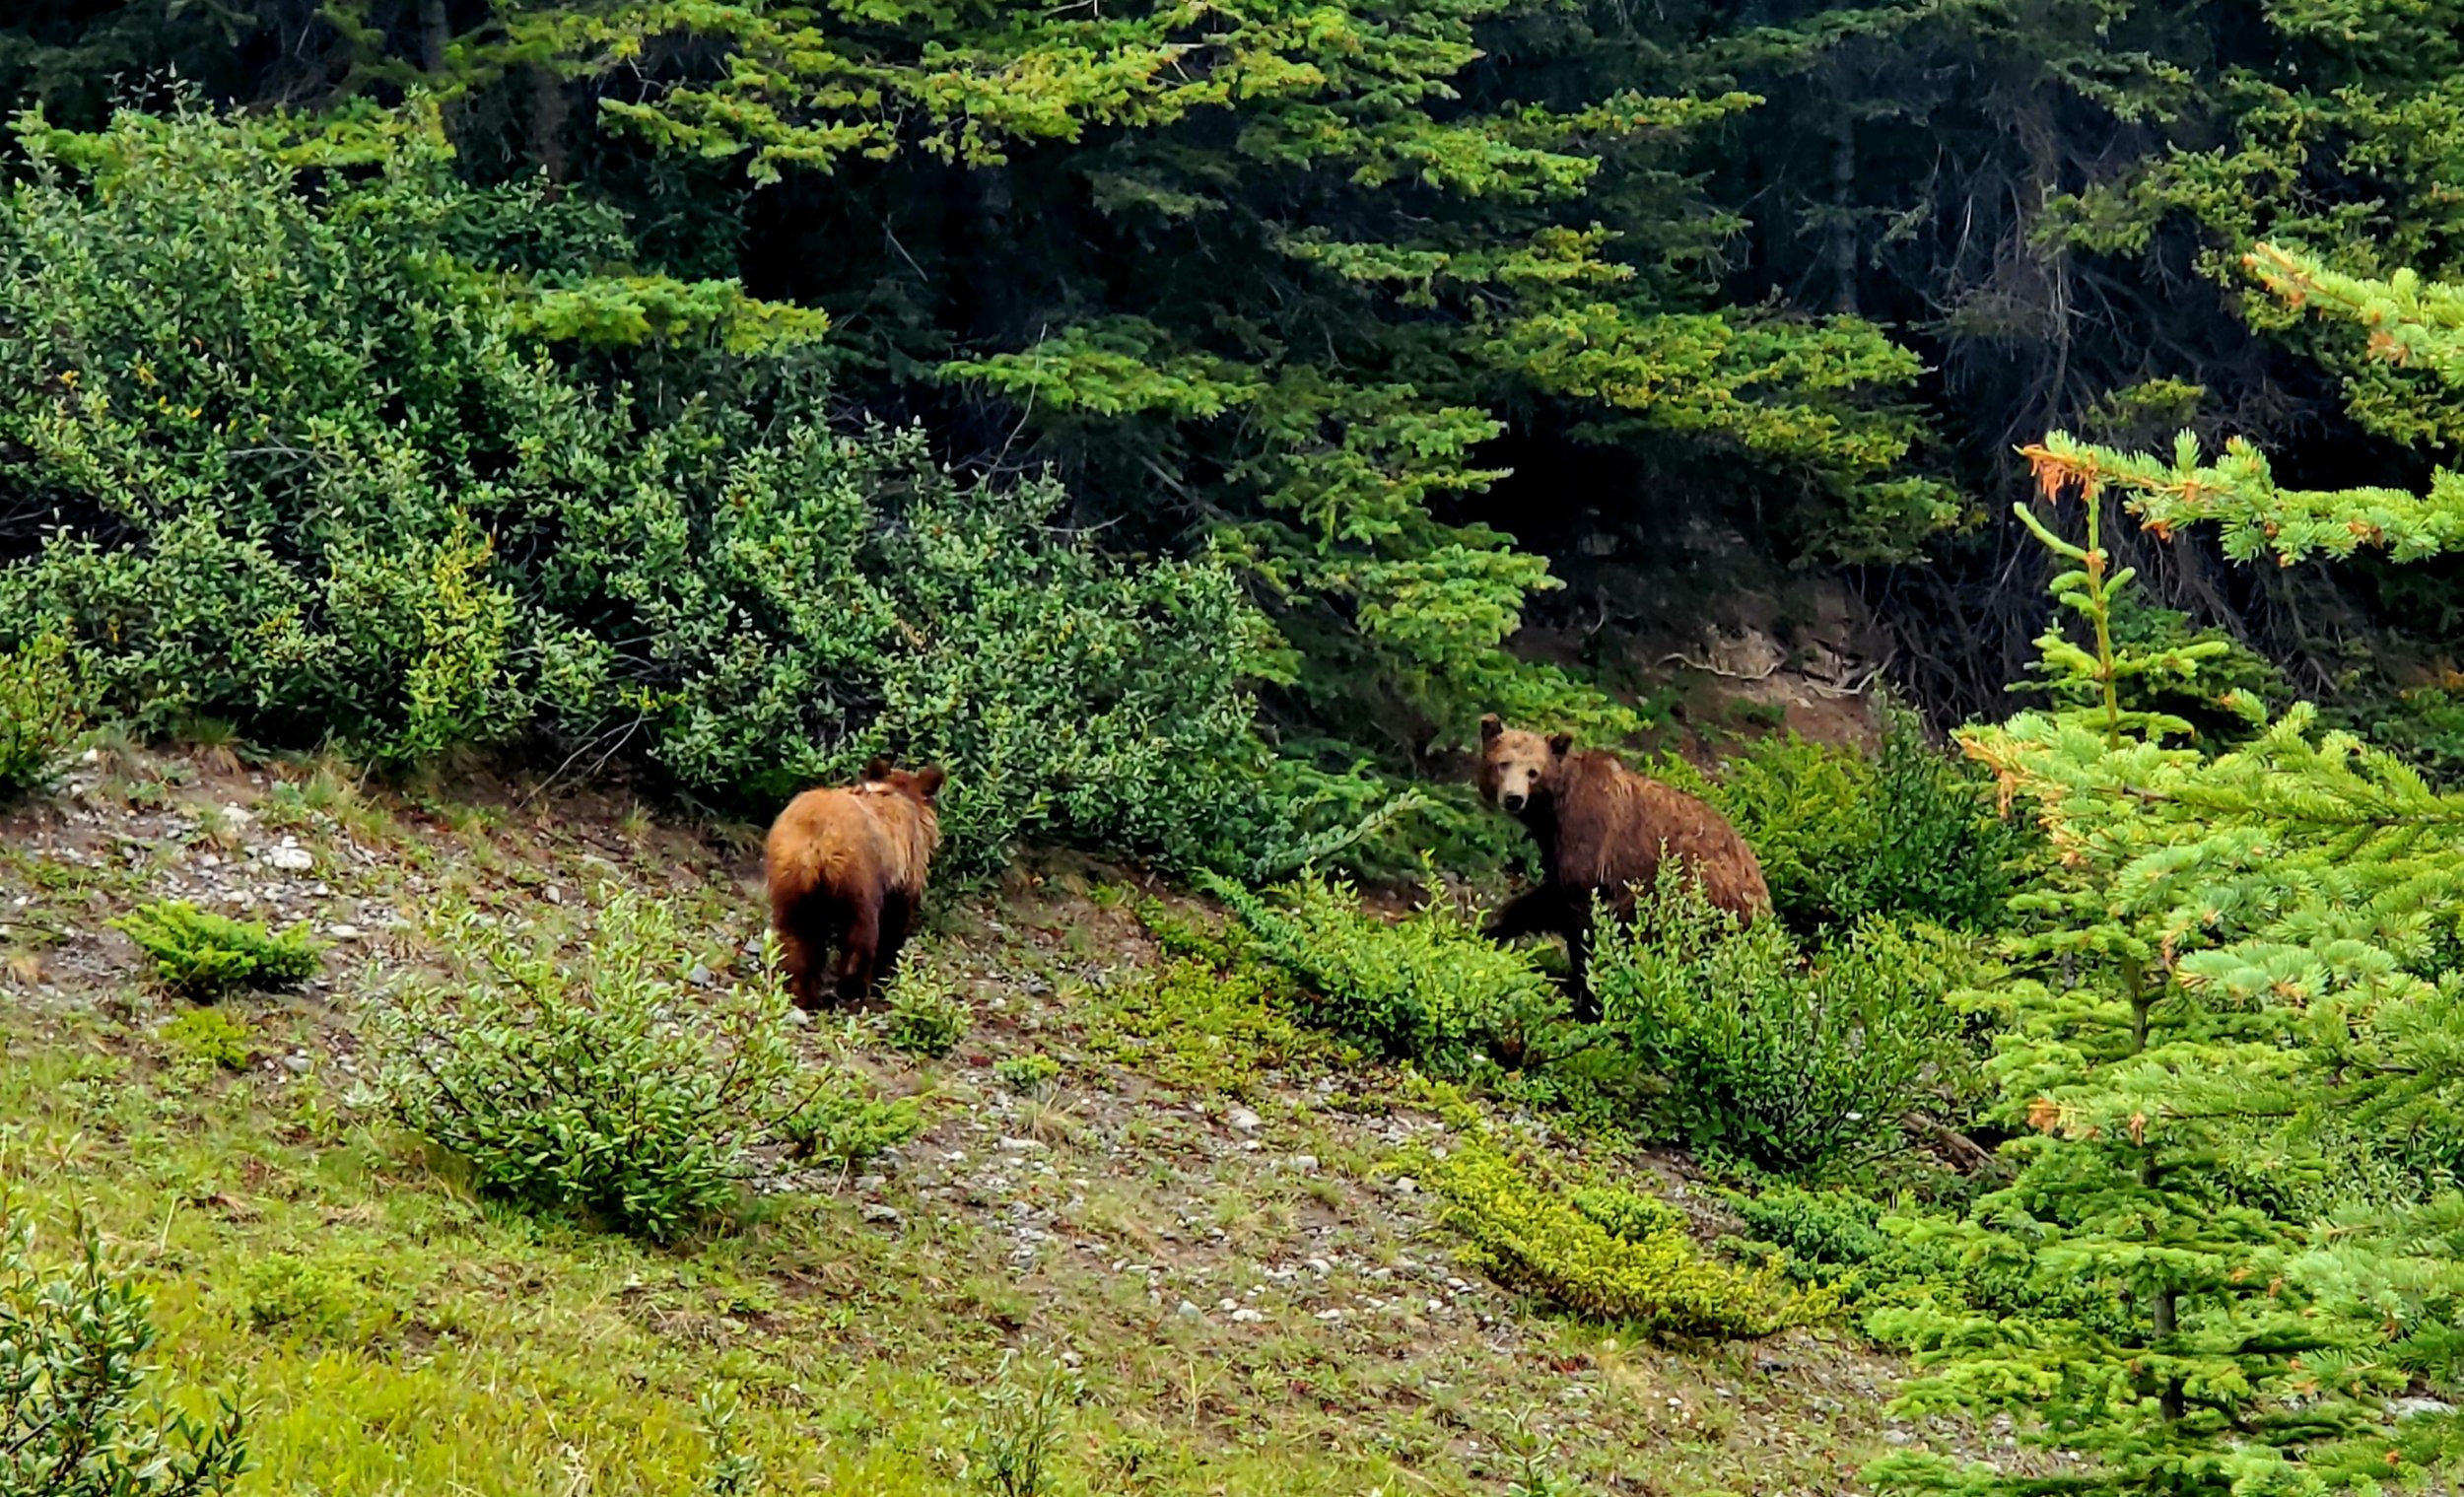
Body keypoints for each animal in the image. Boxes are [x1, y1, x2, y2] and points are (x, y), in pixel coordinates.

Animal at [764, 755, 947, 1010]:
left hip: (789, 880)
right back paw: (852, 988)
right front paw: (885, 977)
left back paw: (804, 993)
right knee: (860, 934)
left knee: (798, 936)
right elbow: (894, 924)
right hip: (858, 879)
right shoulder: (903, 874)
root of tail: (816, 844)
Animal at [1476, 714, 1770, 1021]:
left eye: (1533, 772)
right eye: (1503, 763)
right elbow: (1541, 902)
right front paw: (1489, 929)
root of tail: (1763, 898)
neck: (1552, 813)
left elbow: (1583, 924)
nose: (1513, 798)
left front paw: (1587, 998)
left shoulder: (1589, 843)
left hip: (1698, 890)